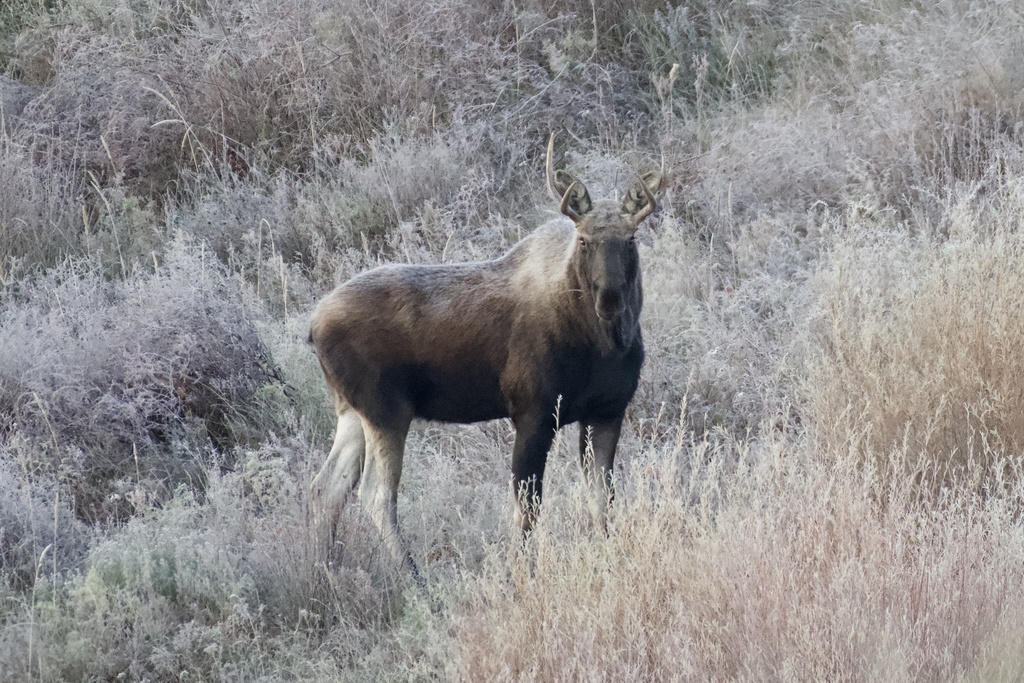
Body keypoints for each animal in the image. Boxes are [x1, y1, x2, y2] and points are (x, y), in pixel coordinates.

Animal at [308, 134, 662, 576]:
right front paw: (522, 573)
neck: (602, 345)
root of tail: (313, 327)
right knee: (375, 494)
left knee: (326, 487)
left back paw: (325, 569)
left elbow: (603, 500)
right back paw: (413, 577)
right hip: (385, 410)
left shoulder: (607, 411)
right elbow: (528, 509)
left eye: (631, 239)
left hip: (353, 412)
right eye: (584, 240)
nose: (610, 299)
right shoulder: (533, 413)